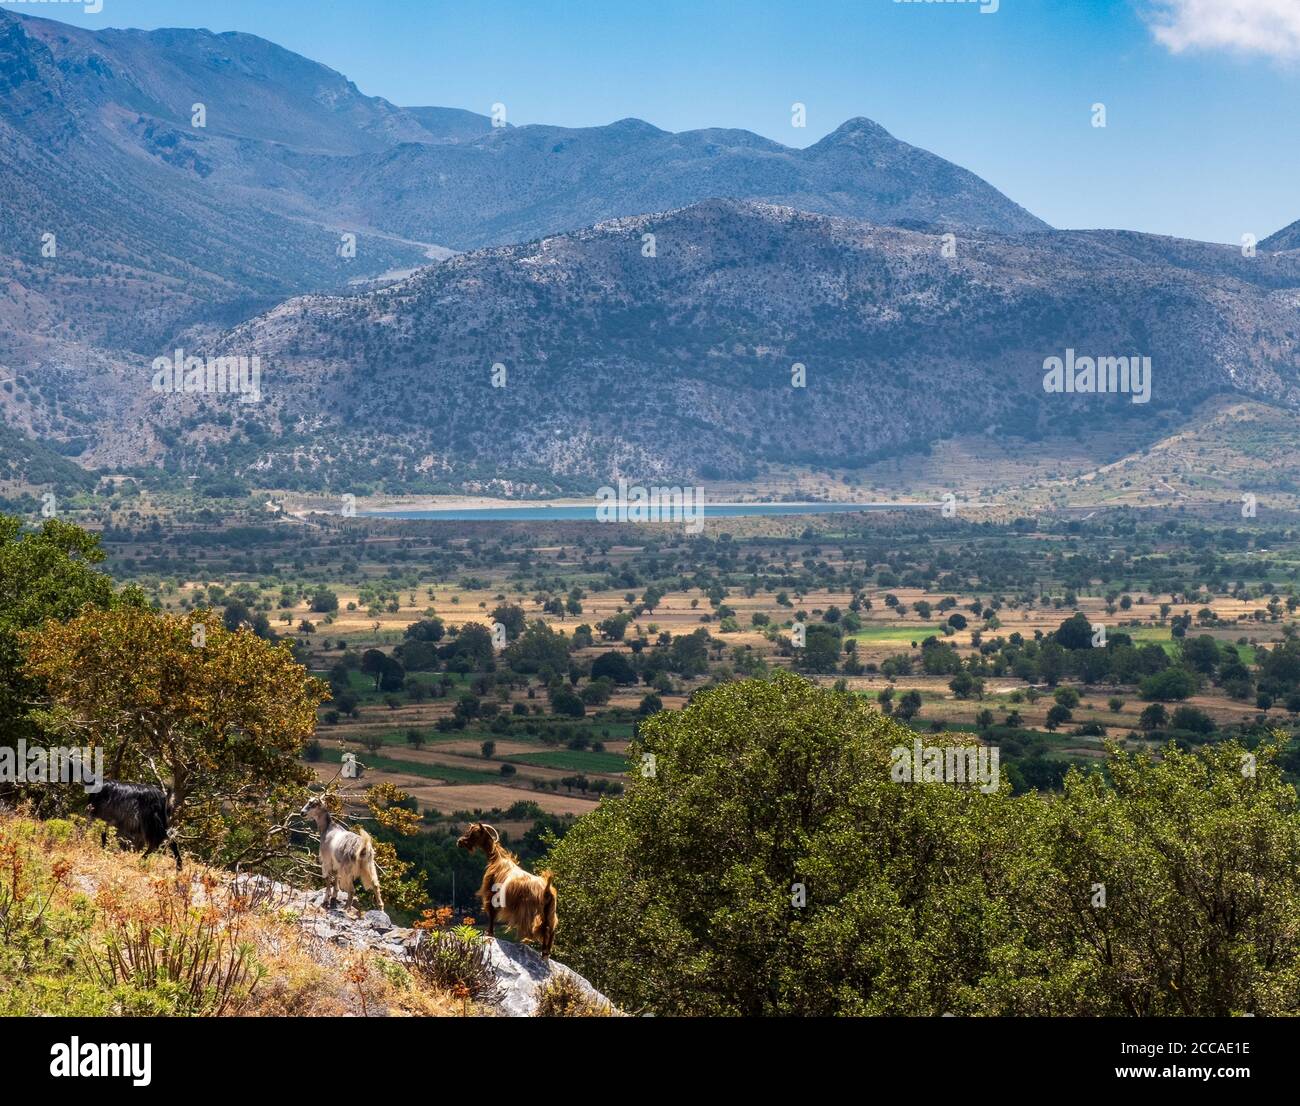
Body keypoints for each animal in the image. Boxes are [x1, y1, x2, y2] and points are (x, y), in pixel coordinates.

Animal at [457, 822, 557, 956]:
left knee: (537, 928)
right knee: (549, 928)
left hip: (530, 910)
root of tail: (547, 889)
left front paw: (490, 933)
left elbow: (492, 913)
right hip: (550, 911)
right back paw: (545, 952)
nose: (460, 841)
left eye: (474, 833)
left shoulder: (491, 893)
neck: (497, 859)